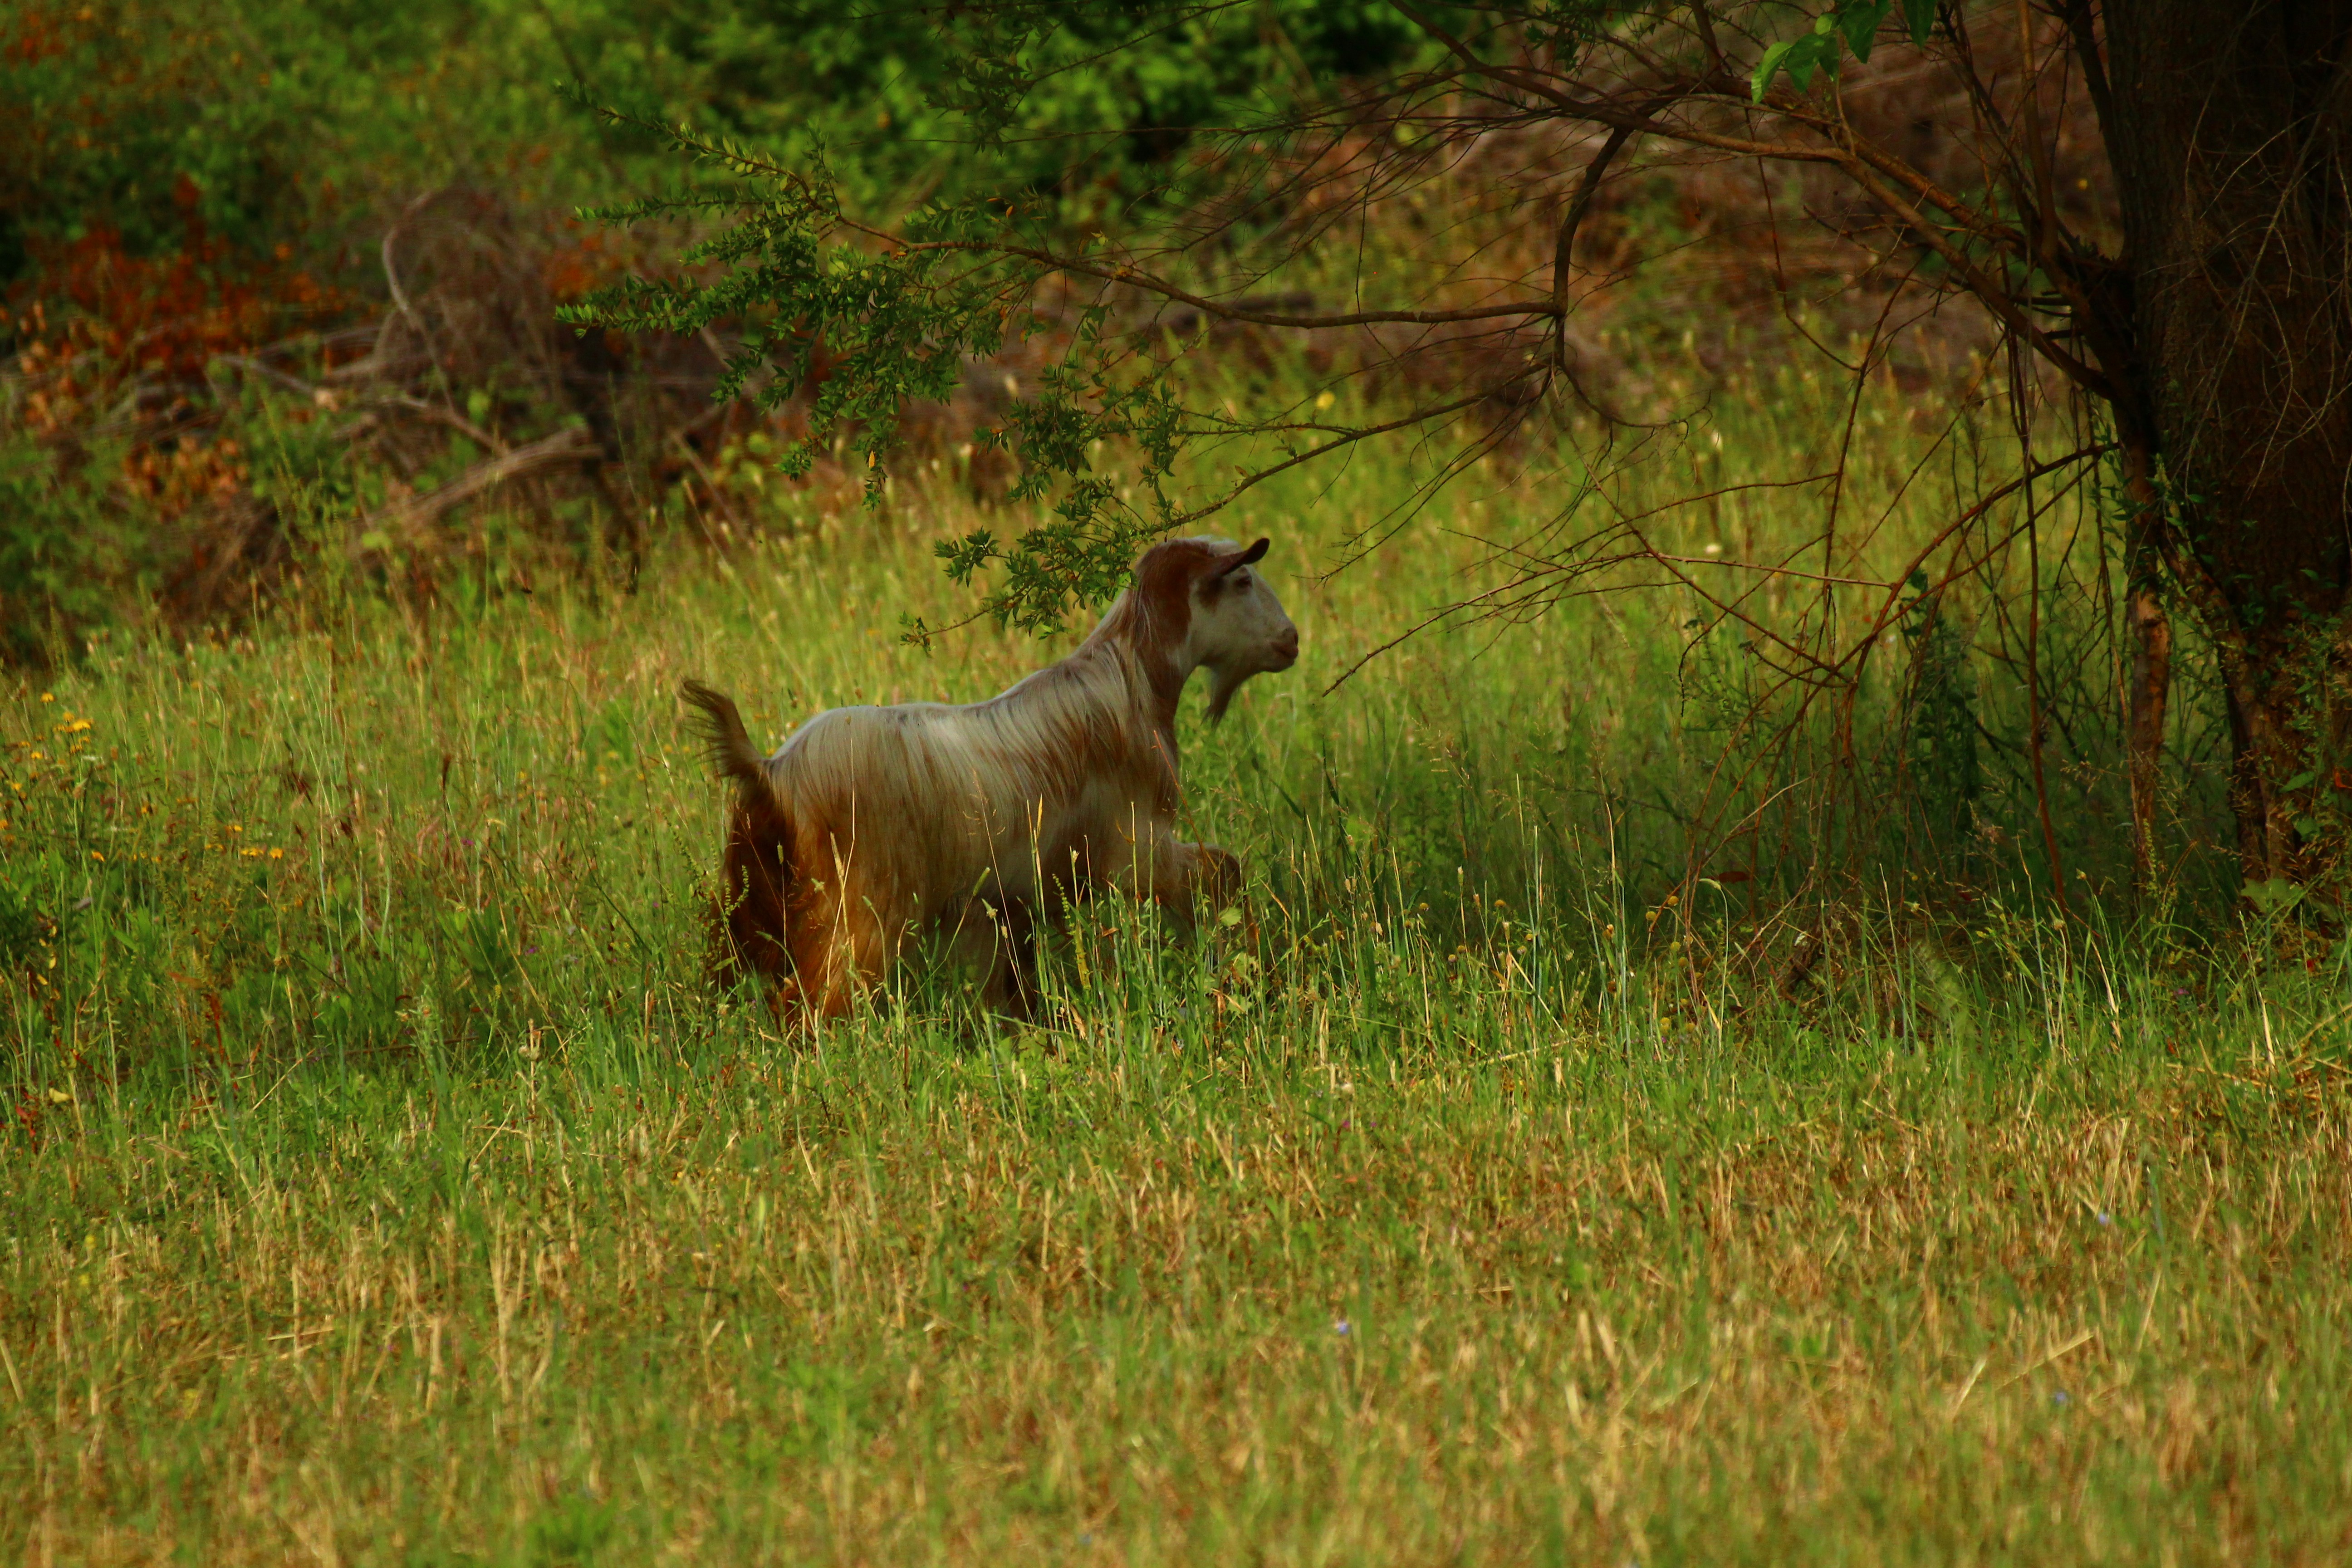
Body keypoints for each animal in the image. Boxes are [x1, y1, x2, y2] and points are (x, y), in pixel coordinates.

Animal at [682, 535, 1299, 1018]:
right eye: (1244, 580)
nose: (1291, 640)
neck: (1133, 682)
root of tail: (769, 770)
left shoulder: (1008, 902)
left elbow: (1010, 987)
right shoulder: (1134, 849)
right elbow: (1225, 871)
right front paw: (1246, 965)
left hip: (752, 902)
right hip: (858, 913)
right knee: (813, 1004)